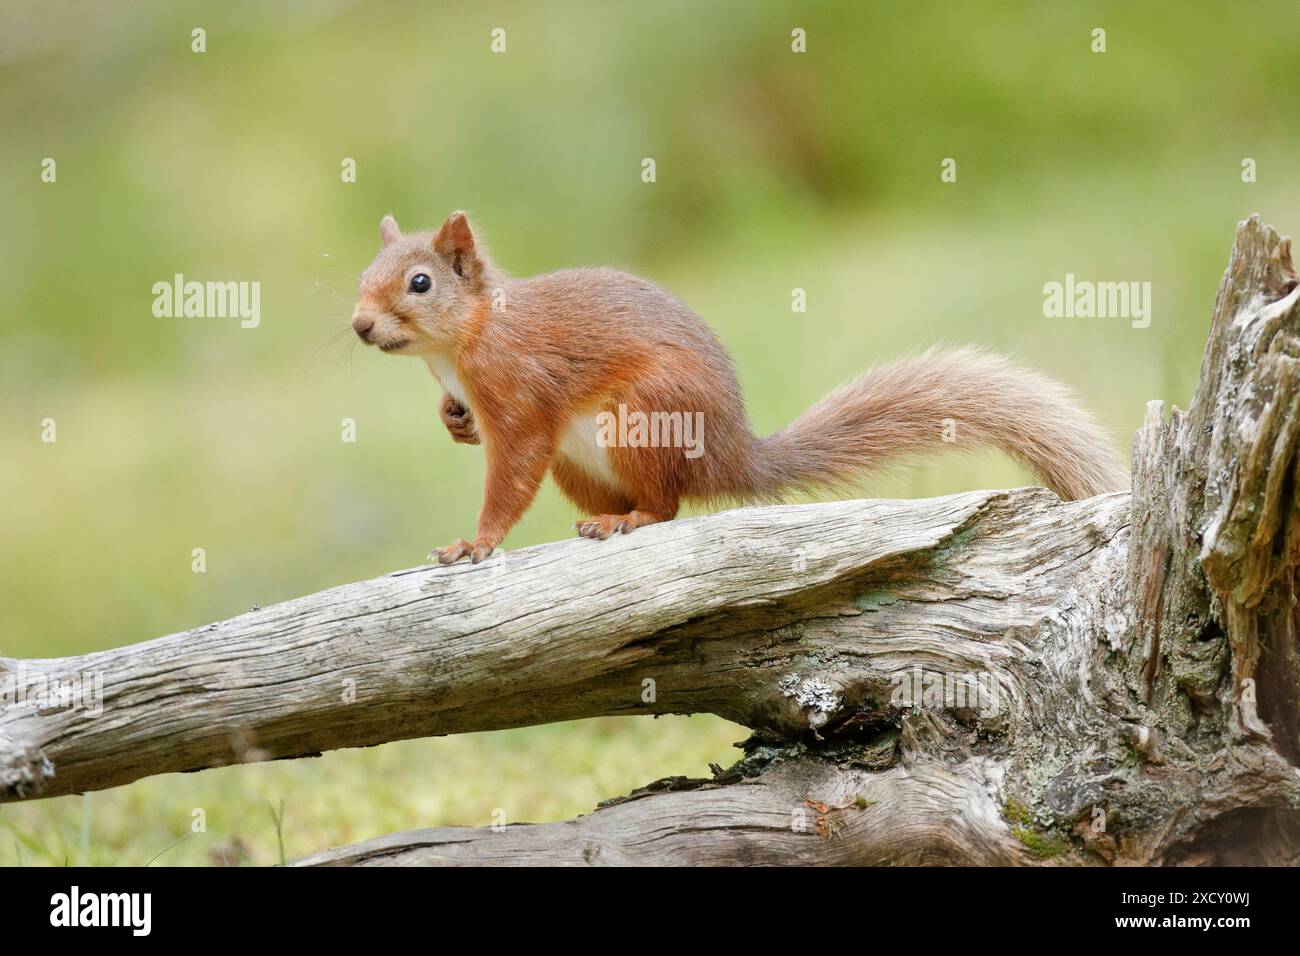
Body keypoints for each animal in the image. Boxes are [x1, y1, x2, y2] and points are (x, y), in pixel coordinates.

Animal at [351, 211, 1128, 564]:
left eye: (419, 283)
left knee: (667, 506)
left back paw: (629, 521)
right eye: (363, 273)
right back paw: (605, 517)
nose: (358, 325)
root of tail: (730, 453)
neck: (466, 340)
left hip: (646, 415)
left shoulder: (520, 389)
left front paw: (475, 543)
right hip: (585, 463)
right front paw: (453, 419)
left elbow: (511, 471)